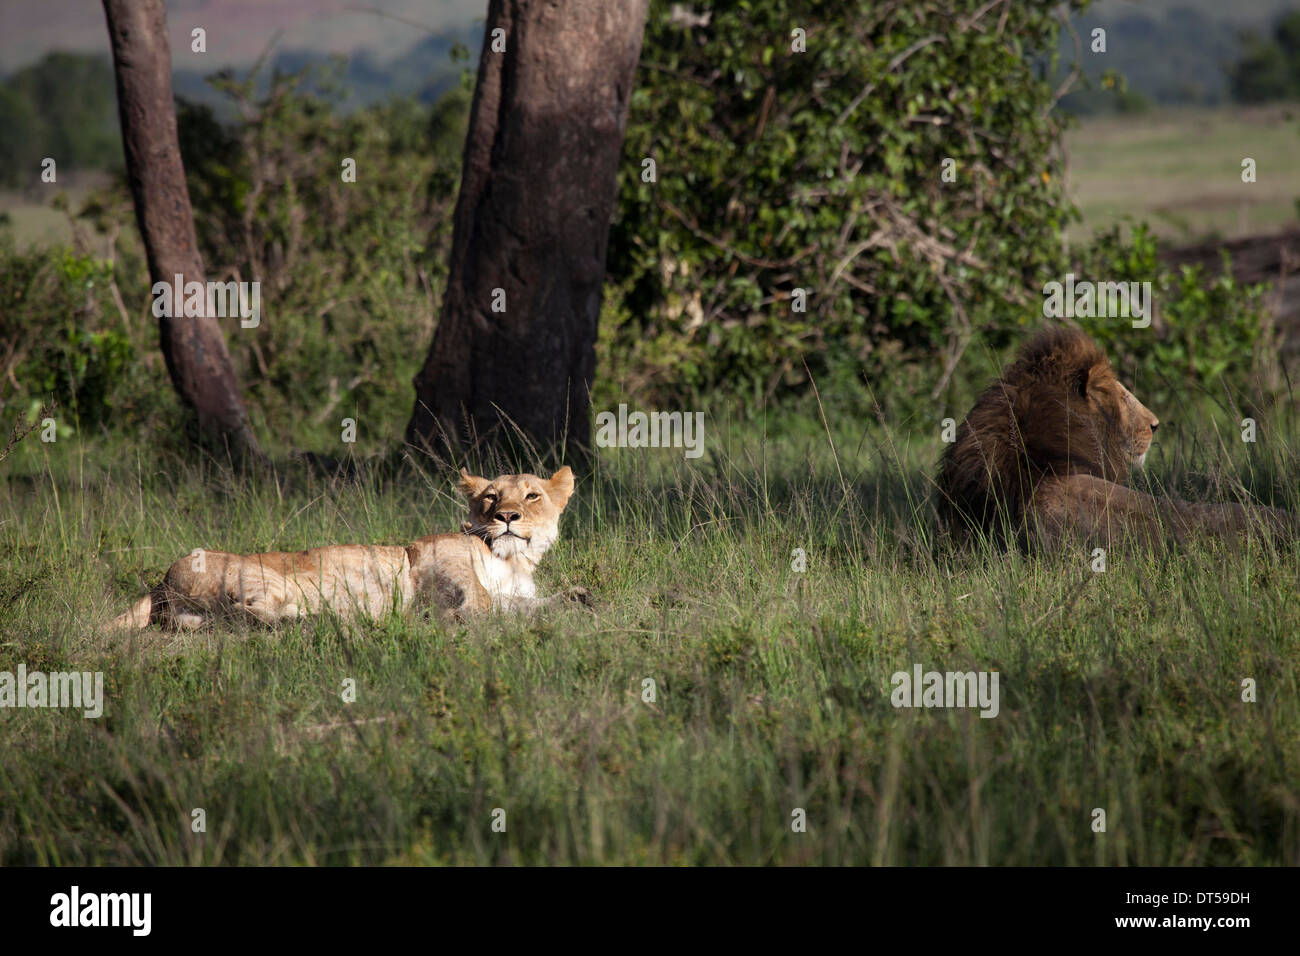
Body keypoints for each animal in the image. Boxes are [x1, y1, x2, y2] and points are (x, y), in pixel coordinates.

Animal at [107, 467, 588, 630]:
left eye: (531, 496)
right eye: (491, 497)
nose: (507, 516)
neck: (512, 560)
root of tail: (161, 581)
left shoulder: (515, 593)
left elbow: (529, 604)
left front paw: (577, 598)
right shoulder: (428, 560)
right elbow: (479, 597)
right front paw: (461, 616)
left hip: (195, 616)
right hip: (269, 582)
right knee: (251, 614)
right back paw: (322, 620)